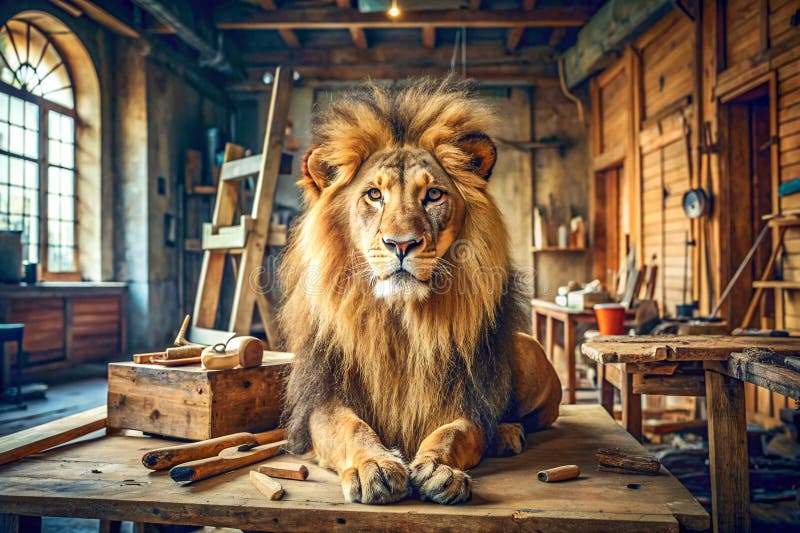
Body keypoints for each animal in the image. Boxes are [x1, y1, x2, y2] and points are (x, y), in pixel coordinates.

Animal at [278, 77, 562, 505]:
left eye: (433, 195)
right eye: (374, 195)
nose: (401, 243)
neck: (401, 316)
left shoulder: (467, 395)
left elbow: (457, 431)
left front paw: (438, 469)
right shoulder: (323, 400)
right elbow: (350, 427)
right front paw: (374, 467)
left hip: (528, 352)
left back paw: (507, 434)